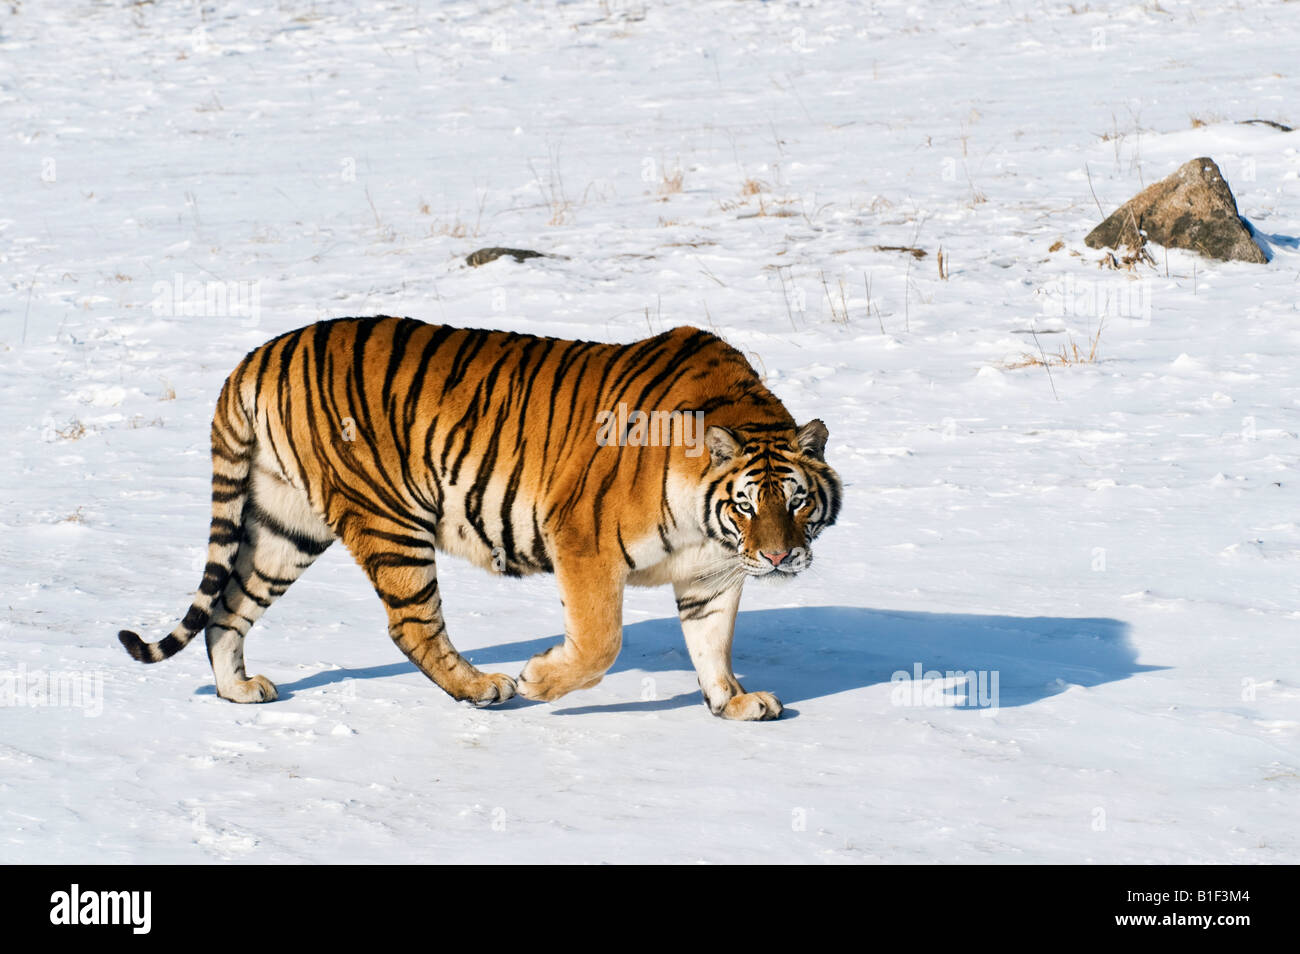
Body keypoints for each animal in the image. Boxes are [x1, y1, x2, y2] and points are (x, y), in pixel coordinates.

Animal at [118, 317, 842, 720]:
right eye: (746, 503)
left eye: (797, 501)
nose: (778, 556)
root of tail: (261, 353)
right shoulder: (582, 540)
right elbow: (600, 641)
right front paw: (540, 677)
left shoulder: (710, 576)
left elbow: (712, 643)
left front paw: (733, 703)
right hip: (391, 518)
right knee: (411, 624)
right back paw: (485, 688)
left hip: (285, 524)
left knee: (227, 607)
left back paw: (239, 692)